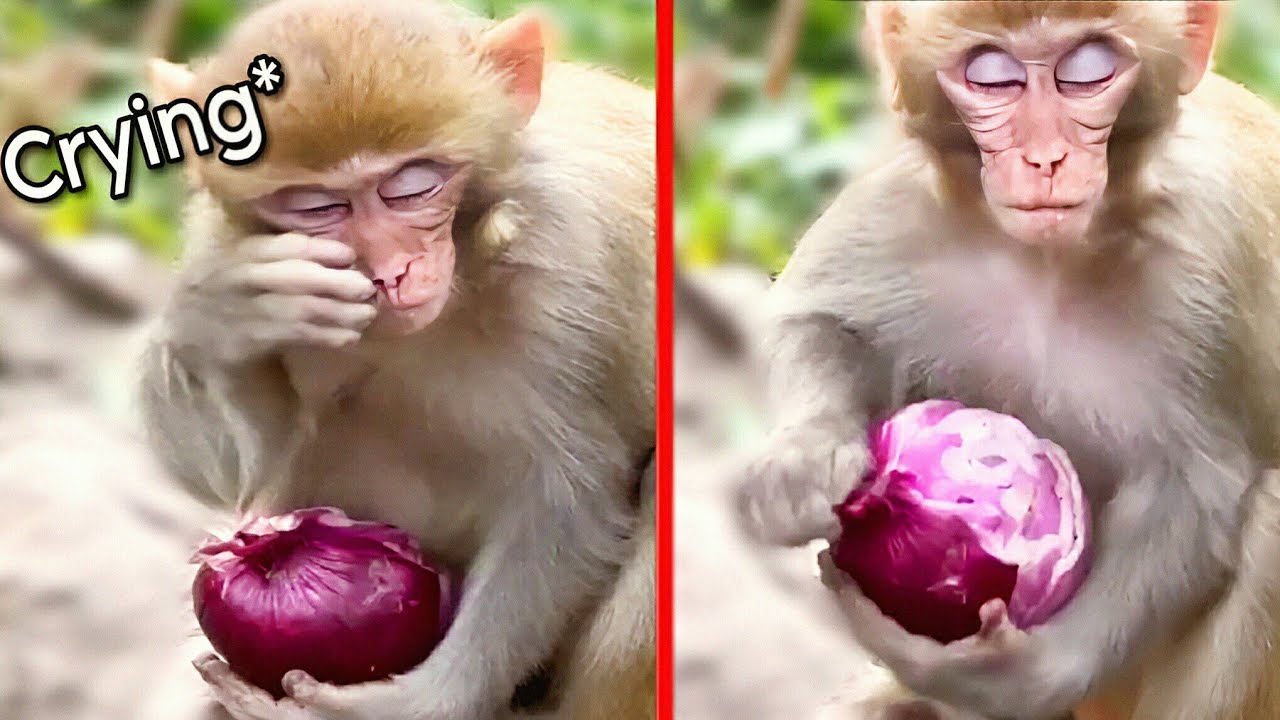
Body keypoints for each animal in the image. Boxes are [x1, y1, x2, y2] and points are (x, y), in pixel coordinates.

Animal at [134, 1, 655, 718]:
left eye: (412, 186)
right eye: (316, 206)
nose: (391, 271)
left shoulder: (570, 253)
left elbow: (569, 497)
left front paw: (412, 704)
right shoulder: (228, 244)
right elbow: (235, 473)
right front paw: (229, 316)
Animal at [734, 2, 1280, 719]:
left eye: (1088, 69)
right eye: (992, 75)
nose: (1044, 158)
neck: (1048, 256)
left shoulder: (1209, 251)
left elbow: (1194, 488)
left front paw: (1010, 675)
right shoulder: (904, 196)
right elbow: (820, 323)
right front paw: (803, 460)